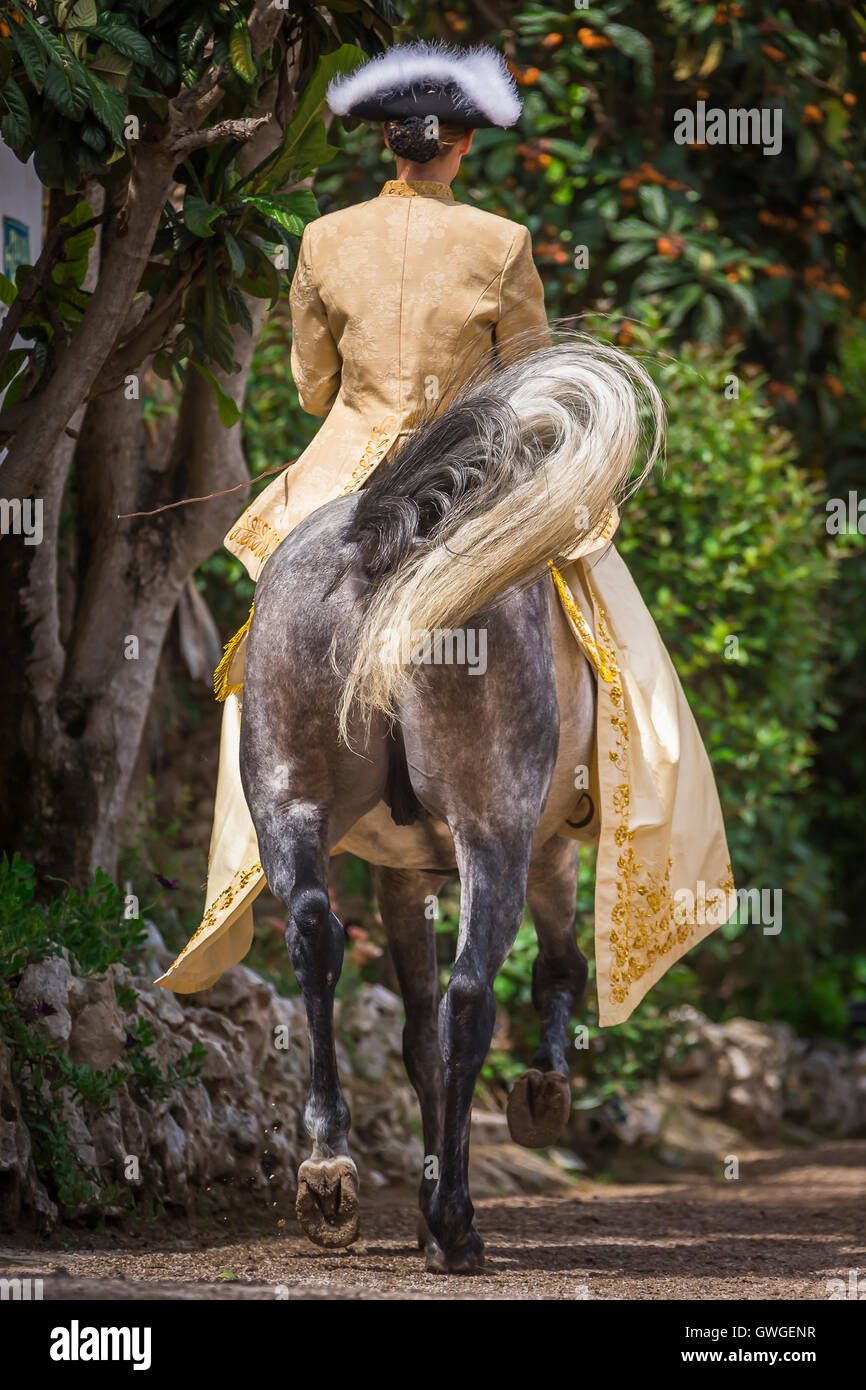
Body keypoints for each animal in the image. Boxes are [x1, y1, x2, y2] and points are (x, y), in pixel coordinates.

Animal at [239, 338, 663, 1273]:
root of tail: (377, 547)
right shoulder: (547, 848)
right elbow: (555, 968)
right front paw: (540, 1093)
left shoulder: (401, 877)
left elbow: (413, 1042)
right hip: (493, 830)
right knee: (470, 998)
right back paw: (459, 1222)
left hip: (288, 798)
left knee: (315, 938)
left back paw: (330, 1173)